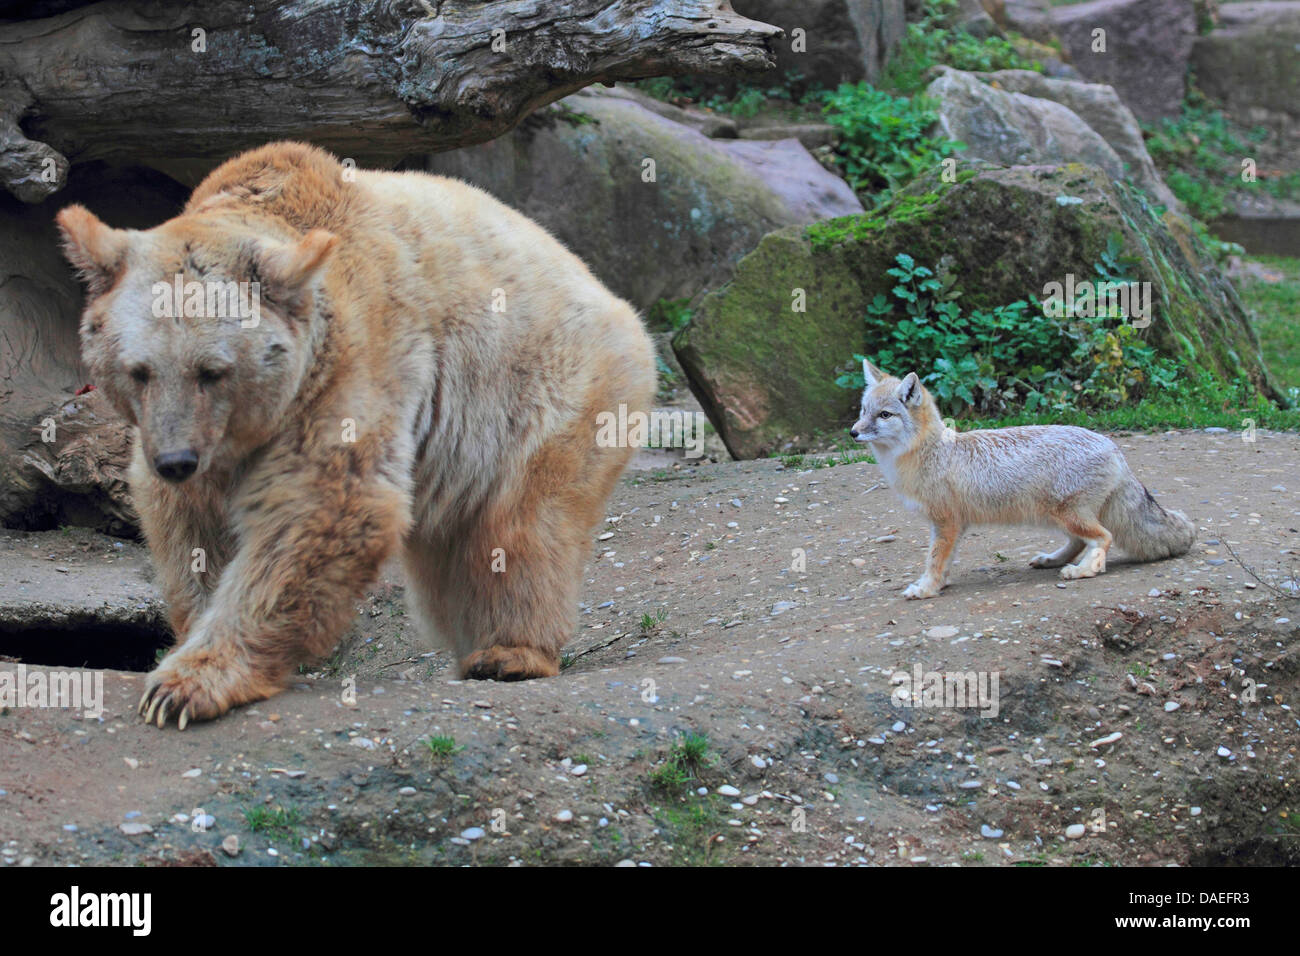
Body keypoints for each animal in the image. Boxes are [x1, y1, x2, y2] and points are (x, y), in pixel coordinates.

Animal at [56, 142, 655, 727]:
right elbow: (191, 529)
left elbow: (322, 507)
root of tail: (615, 301)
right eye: (139, 371)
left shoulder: (348, 367)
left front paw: (185, 686)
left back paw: (508, 653)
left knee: (520, 528)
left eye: (213, 370)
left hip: (542, 387)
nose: (177, 460)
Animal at [850, 360, 1195, 599]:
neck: (931, 451)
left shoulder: (946, 522)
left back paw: (1084, 570)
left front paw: (926, 588)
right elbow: (944, 560)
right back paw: (1053, 560)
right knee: (1078, 541)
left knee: (1103, 537)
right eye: (863, 411)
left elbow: (934, 559)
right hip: (1057, 514)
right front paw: (940, 583)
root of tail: (1113, 446)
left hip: (1066, 514)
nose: (853, 432)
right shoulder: (954, 525)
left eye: (884, 415)